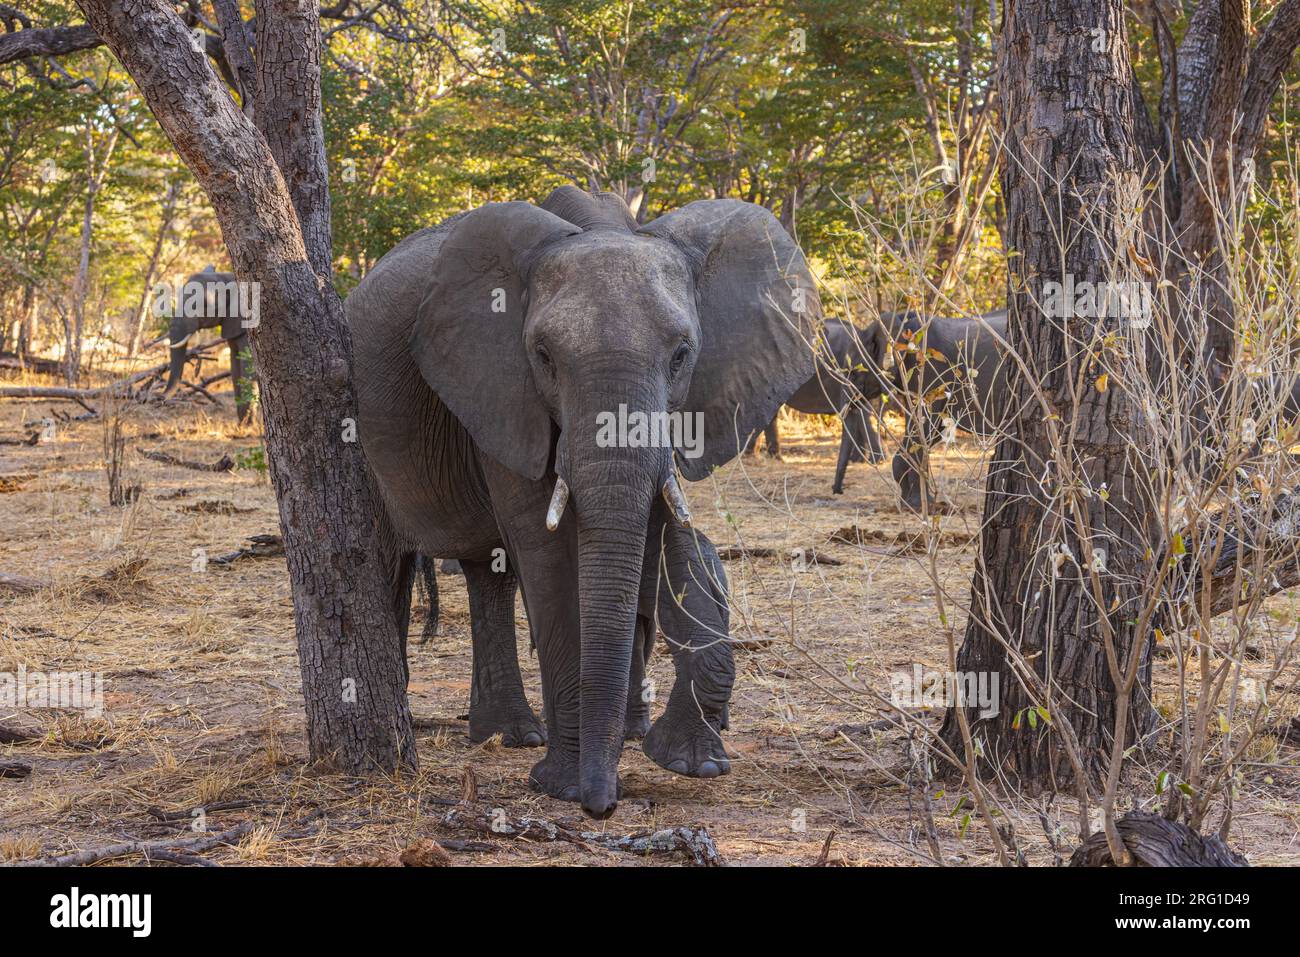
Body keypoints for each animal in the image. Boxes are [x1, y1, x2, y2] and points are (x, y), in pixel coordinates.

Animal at [155, 265, 257, 422]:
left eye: (202, 305)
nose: (158, 397)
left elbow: (247, 366)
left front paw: (249, 425)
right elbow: (235, 365)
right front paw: (241, 424)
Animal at [348, 186, 816, 817]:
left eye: (682, 355)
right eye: (544, 356)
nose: (603, 807)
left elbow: (661, 537)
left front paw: (686, 761)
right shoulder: (502, 387)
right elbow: (545, 553)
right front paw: (565, 785)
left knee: (488, 571)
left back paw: (510, 736)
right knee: (386, 563)